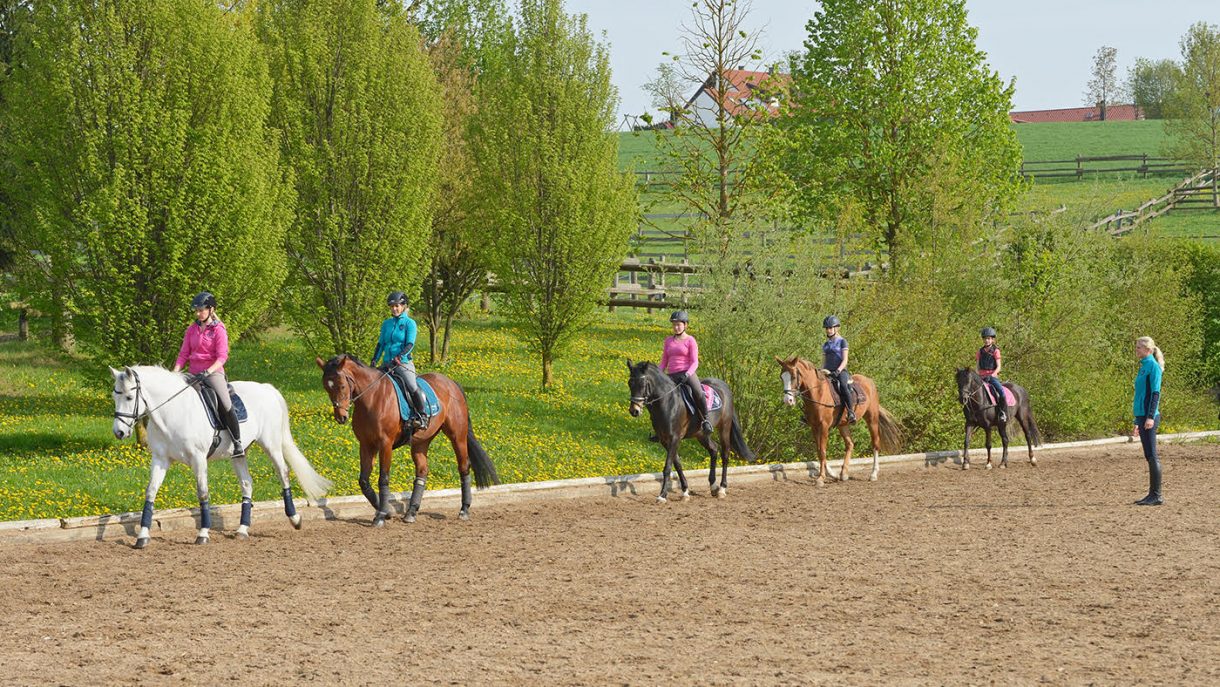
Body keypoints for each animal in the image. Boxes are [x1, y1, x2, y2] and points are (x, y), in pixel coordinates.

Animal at [110, 366, 332, 548]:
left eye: (129, 398)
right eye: (114, 397)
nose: (119, 432)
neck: (171, 413)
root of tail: (267, 388)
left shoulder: (198, 458)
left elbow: (203, 493)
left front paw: (203, 534)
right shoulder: (160, 459)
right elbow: (150, 492)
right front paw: (142, 537)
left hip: (271, 444)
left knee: (283, 473)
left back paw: (295, 519)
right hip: (239, 454)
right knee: (247, 483)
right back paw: (242, 529)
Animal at [316, 354, 498, 526]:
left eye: (341, 385)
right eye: (326, 387)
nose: (341, 417)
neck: (372, 397)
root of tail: (451, 383)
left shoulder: (385, 444)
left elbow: (383, 479)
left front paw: (381, 516)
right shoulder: (366, 444)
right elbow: (364, 481)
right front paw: (387, 512)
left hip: (457, 436)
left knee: (464, 467)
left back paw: (464, 509)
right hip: (421, 441)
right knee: (422, 471)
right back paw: (411, 512)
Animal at [626, 359, 756, 503]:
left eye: (643, 384)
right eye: (630, 383)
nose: (634, 411)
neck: (667, 402)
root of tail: (725, 386)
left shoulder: (674, 438)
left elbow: (667, 467)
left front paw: (662, 495)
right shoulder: (665, 440)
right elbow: (677, 464)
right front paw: (685, 491)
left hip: (724, 428)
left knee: (725, 454)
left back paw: (722, 489)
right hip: (701, 434)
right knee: (714, 449)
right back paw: (713, 486)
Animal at [775, 356, 902, 486]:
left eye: (793, 376)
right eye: (782, 377)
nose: (788, 400)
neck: (818, 393)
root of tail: (869, 381)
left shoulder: (824, 426)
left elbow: (823, 451)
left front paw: (821, 478)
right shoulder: (814, 427)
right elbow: (819, 451)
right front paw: (832, 474)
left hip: (872, 419)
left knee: (875, 444)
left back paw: (873, 474)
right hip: (843, 425)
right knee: (850, 444)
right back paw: (843, 474)